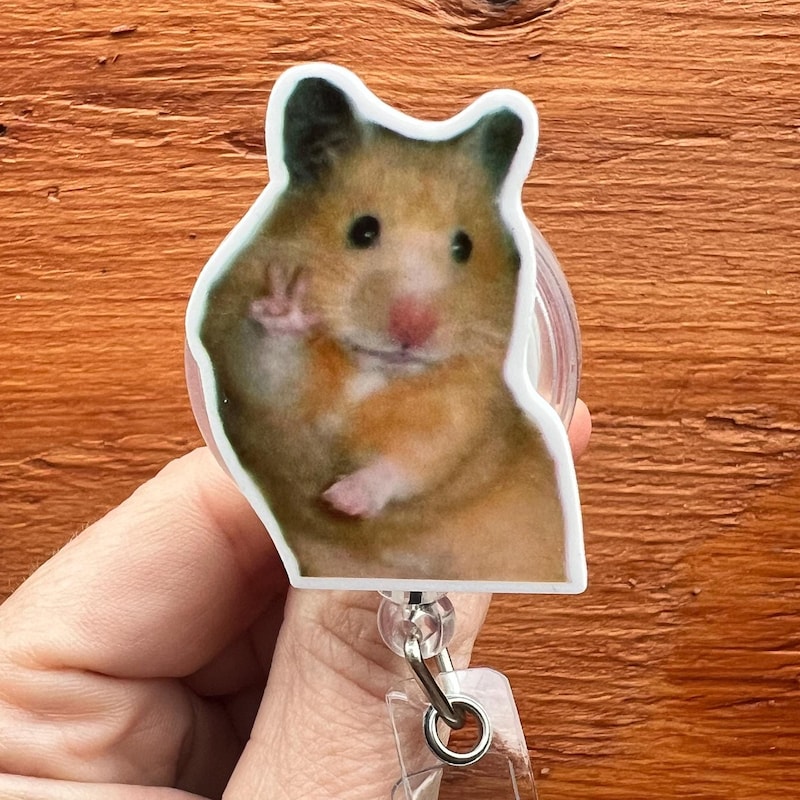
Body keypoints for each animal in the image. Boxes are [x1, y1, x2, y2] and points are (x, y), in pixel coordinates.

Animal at [199, 77, 566, 581]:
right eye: (363, 230)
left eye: (464, 246)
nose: (414, 331)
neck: (372, 371)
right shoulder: (248, 371)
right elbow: (270, 366)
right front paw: (285, 305)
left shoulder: (463, 410)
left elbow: (414, 458)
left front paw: (342, 499)